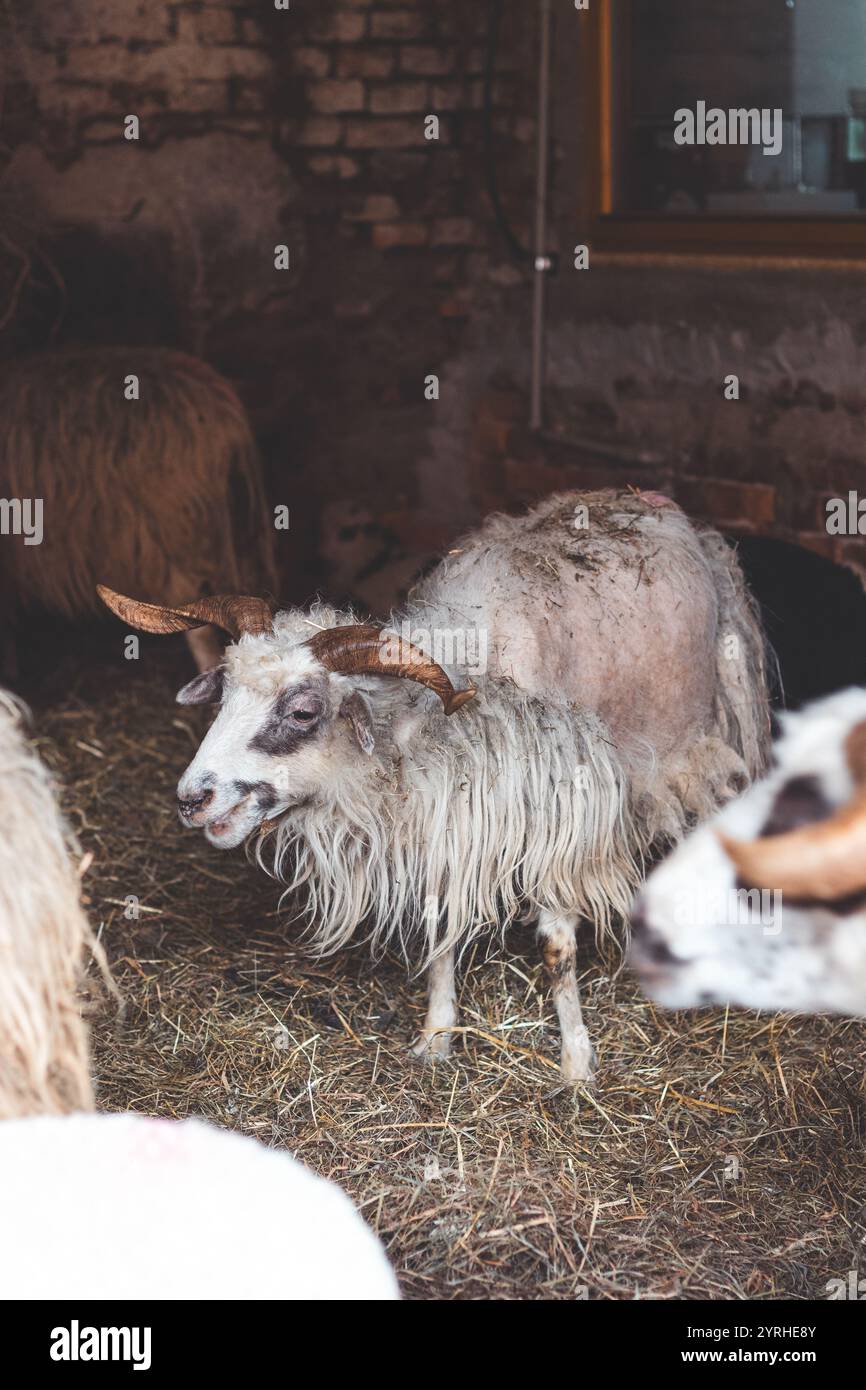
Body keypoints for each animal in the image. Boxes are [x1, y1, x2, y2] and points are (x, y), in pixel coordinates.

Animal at [98, 489, 771, 1081]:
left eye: (304, 712)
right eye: (225, 693)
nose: (193, 798)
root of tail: (659, 506)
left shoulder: (564, 817)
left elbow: (557, 948)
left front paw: (576, 1064)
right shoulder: (441, 821)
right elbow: (440, 938)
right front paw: (436, 1038)